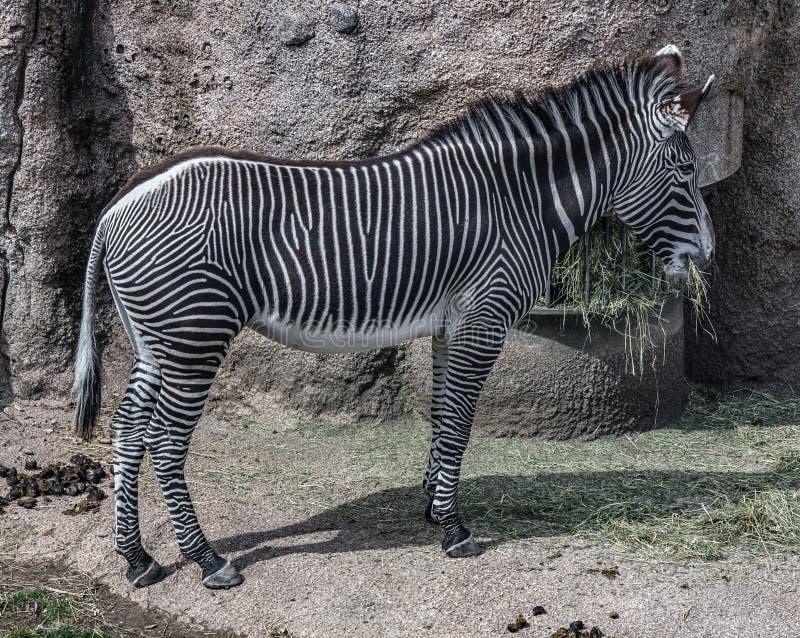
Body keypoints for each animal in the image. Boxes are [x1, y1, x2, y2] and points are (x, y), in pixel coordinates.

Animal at [72, 45, 715, 589]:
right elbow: (461, 420)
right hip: (195, 337)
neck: (519, 200)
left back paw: (137, 559)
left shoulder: (451, 326)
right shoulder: (485, 318)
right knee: (163, 440)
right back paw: (208, 560)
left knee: (128, 429)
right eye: (685, 173)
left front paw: (433, 506)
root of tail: (116, 205)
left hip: (156, 340)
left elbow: (443, 414)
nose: (708, 254)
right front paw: (454, 529)